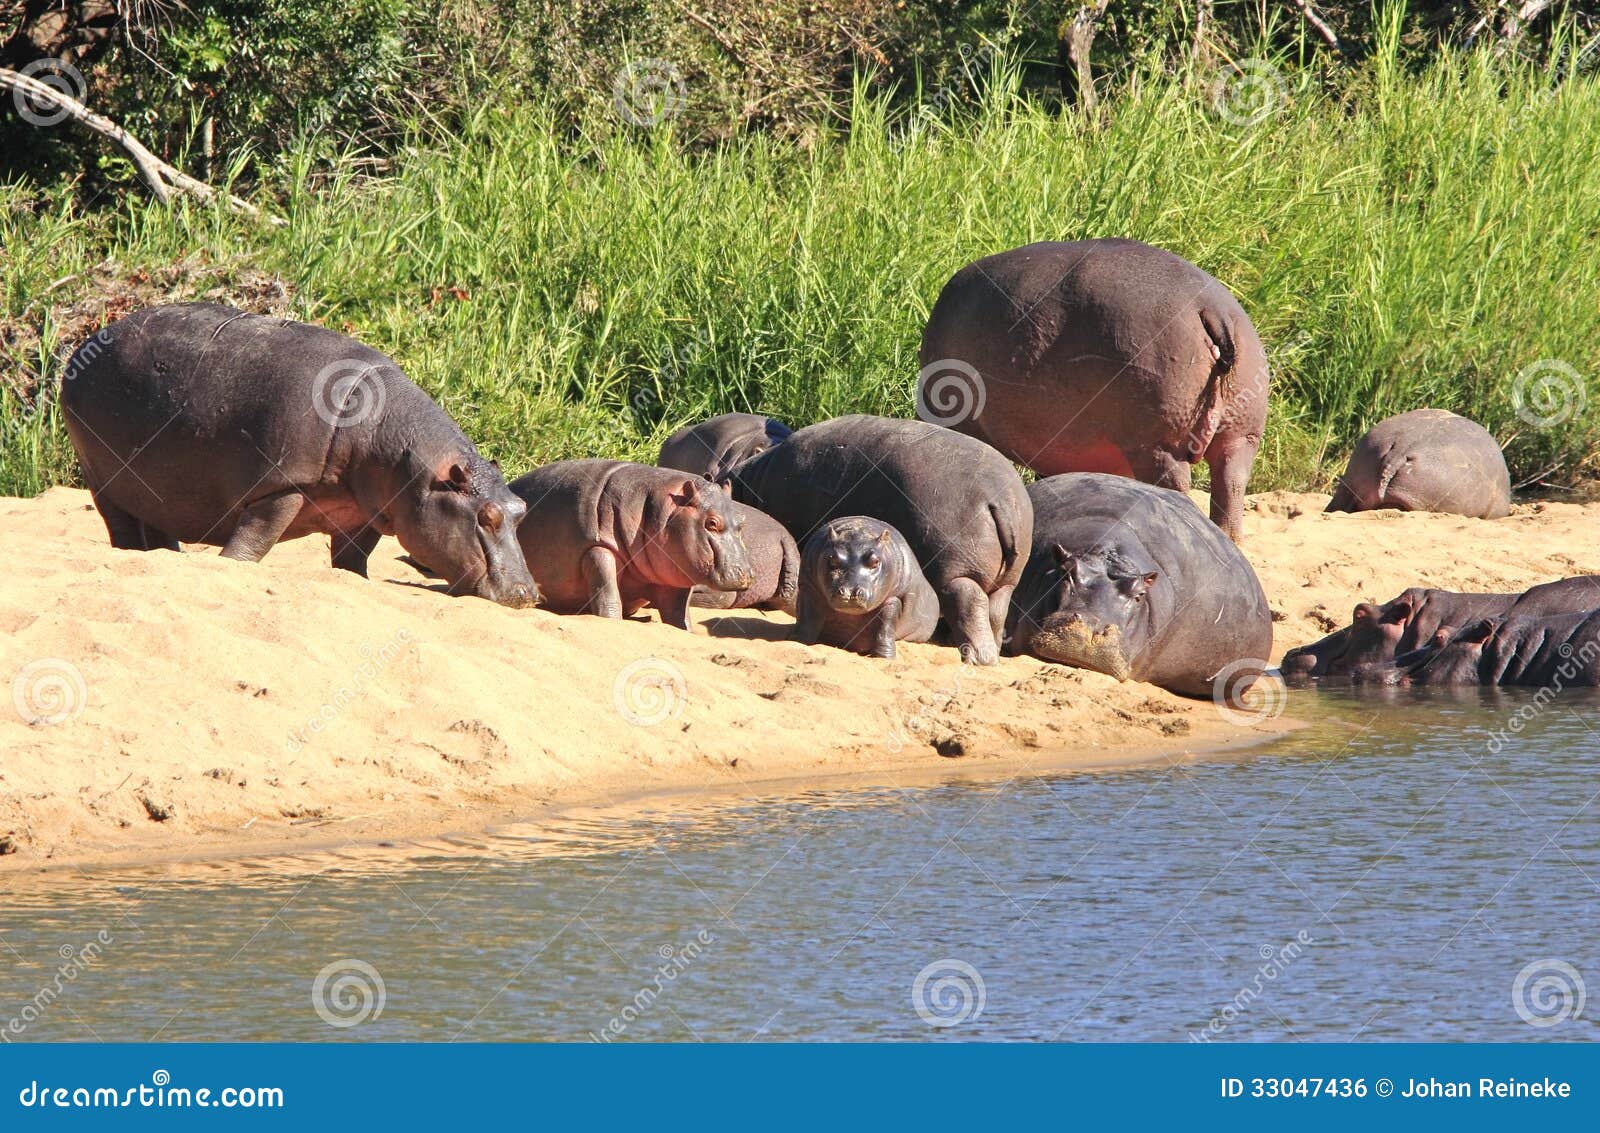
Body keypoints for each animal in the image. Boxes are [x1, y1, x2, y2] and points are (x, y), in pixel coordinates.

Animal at [60, 303, 539, 607]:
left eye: (520, 508)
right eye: (486, 517)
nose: (528, 595)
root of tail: (86, 344)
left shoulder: (365, 511)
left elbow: (352, 563)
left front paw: (355, 580)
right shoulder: (280, 486)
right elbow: (252, 542)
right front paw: (231, 565)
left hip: (155, 491)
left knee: (159, 529)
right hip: (101, 477)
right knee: (120, 526)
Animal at [507, 460, 754, 629]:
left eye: (742, 521)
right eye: (712, 523)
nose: (746, 574)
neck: (660, 507)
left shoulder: (674, 574)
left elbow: (678, 614)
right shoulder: (597, 548)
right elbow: (609, 597)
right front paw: (613, 620)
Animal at [793, 517, 940, 660]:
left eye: (875, 561)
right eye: (832, 559)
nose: (850, 591)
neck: (859, 531)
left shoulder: (894, 598)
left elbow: (886, 625)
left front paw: (885, 657)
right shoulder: (809, 587)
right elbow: (808, 618)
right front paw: (798, 642)